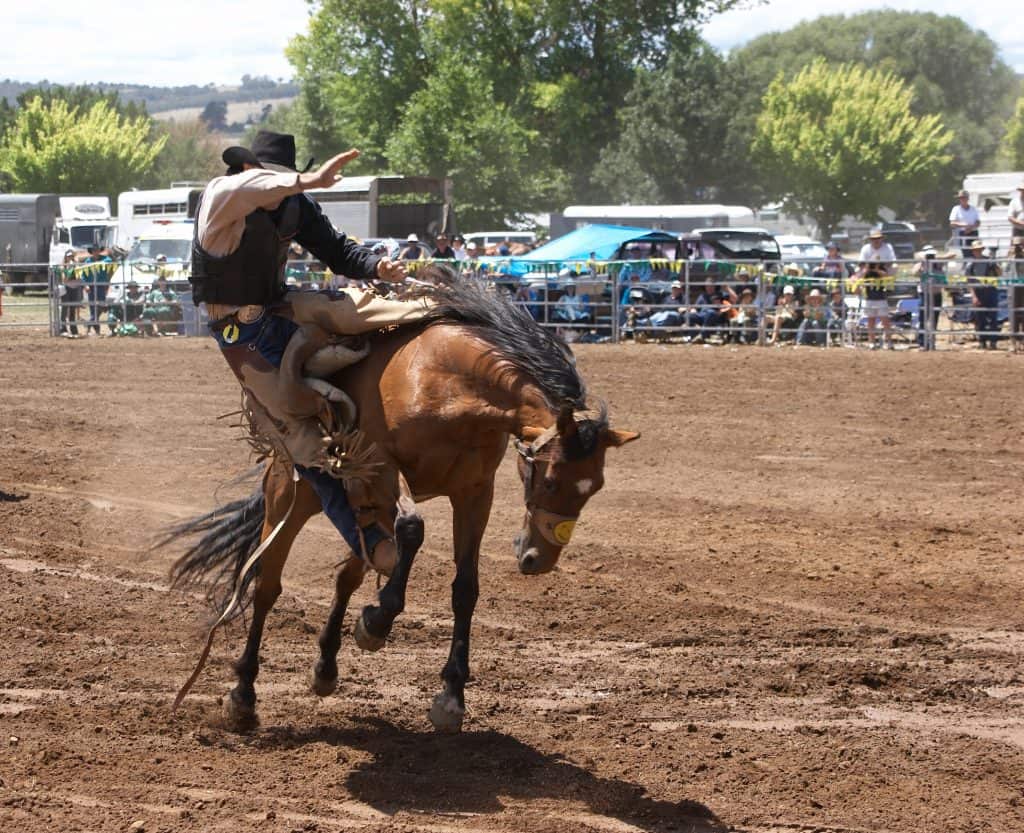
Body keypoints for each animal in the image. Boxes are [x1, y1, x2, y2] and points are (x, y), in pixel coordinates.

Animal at [169, 269, 639, 732]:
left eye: (595, 486)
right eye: (552, 479)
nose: (539, 559)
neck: (449, 381)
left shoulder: (474, 493)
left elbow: (465, 588)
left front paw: (451, 695)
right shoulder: (382, 467)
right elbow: (412, 529)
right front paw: (377, 622)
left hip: (364, 507)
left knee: (350, 574)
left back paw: (326, 668)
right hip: (294, 496)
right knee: (268, 585)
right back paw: (243, 695)